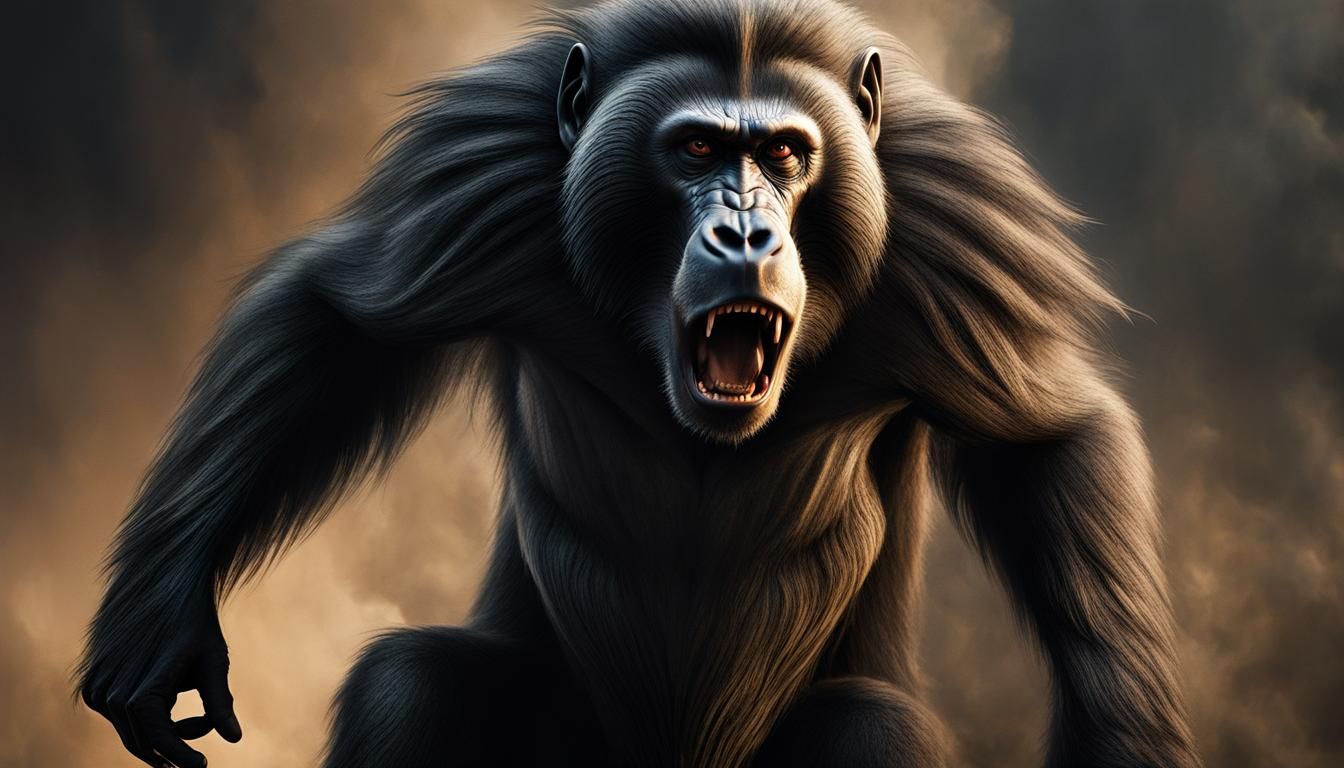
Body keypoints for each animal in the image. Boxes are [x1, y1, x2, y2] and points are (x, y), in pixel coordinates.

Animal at [76, 1, 1201, 766]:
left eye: (785, 153)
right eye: (697, 147)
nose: (745, 231)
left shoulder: (955, 223)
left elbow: (1045, 437)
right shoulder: (486, 169)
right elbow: (338, 317)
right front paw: (162, 627)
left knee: (869, 732)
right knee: (412, 687)